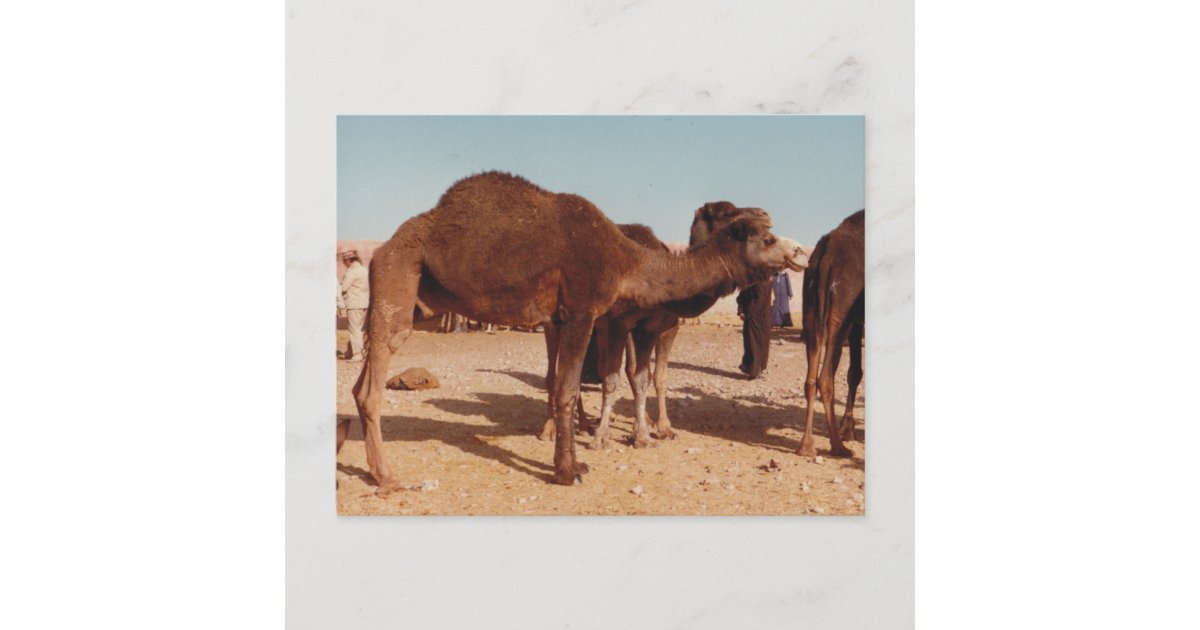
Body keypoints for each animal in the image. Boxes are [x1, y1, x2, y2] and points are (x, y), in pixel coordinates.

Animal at [340, 171, 806, 491]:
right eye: (765, 238)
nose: (800, 251)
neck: (626, 259)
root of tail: (381, 248)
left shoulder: (569, 319)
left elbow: (576, 383)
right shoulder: (583, 312)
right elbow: (567, 389)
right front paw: (569, 469)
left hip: (422, 300)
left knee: (361, 383)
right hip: (398, 277)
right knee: (373, 381)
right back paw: (387, 476)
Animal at [797, 210, 865, 458]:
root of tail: (825, 255)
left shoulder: (857, 324)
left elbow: (855, 372)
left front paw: (848, 428)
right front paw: (848, 430)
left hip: (811, 310)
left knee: (810, 379)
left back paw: (807, 446)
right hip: (839, 312)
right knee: (825, 377)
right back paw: (838, 446)